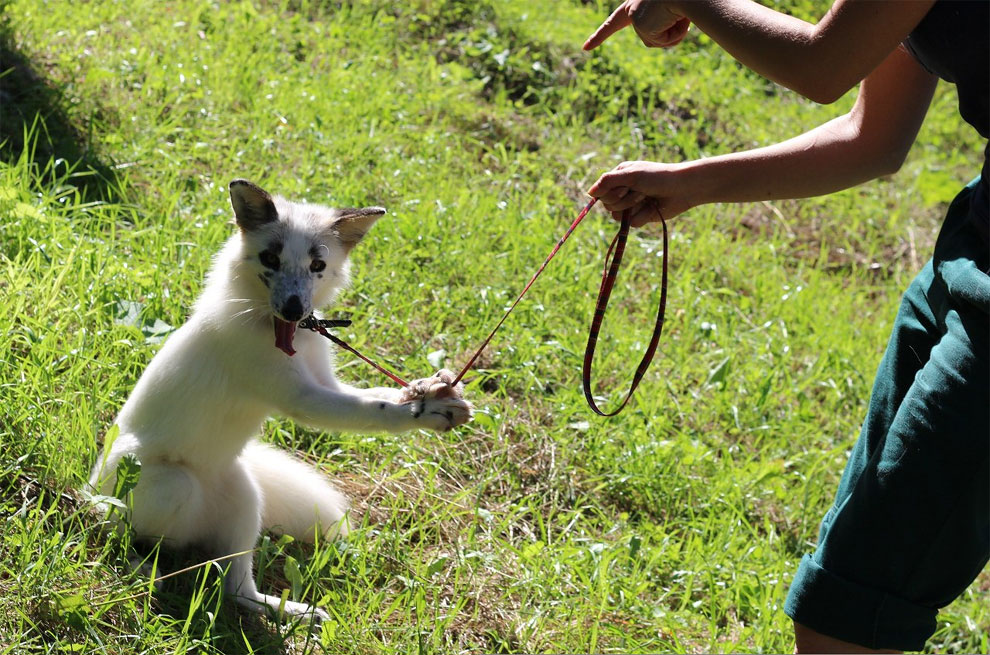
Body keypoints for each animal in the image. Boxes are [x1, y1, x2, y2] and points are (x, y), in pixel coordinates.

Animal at [88, 179, 473, 621]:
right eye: (270, 258)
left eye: (318, 265)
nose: (294, 309)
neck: (276, 326)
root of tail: (87, 489)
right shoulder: (301, 396)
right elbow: (371, 410)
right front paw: (424, 411)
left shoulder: (326, 381)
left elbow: (375, 395)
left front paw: (432, 389)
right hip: (167, 484)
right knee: (116, 531)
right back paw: (138, 564)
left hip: (244, 498)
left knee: (237, 589)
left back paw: (291, 611)